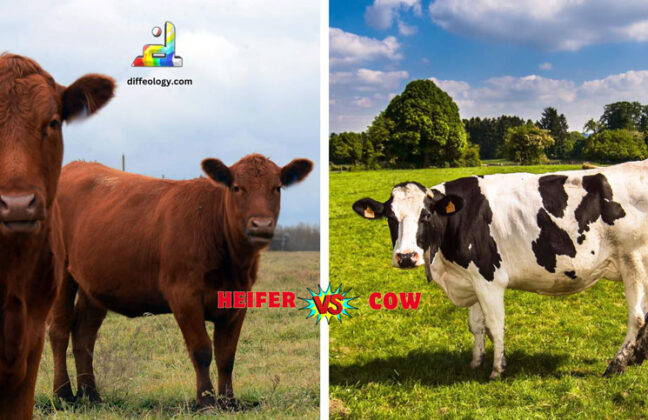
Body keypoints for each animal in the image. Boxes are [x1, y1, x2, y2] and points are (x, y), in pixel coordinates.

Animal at [48, 154, 313, 409]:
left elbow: (227, 355)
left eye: (277, 188)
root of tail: (74, 165)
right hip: (61, 275)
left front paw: (229, 401)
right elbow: (202, 350)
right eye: (237, 187)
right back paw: (63, 394)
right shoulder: (184, 297)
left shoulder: (238, 301)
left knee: (84, 334)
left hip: (93, 284)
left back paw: (91, 395)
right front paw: (206, 400)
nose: (261, 224)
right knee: (59, 330)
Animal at [353, 161, 648, 379]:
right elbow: (476, 326)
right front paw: (476, 362)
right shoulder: (471, 279)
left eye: (426, 215)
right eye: (390, 218)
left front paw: (498, 369)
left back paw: (617, 364)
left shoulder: (489, 279)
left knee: (636, 317)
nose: (405, 256)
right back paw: (638, 357)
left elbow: (495, 325)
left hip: (631, 259)